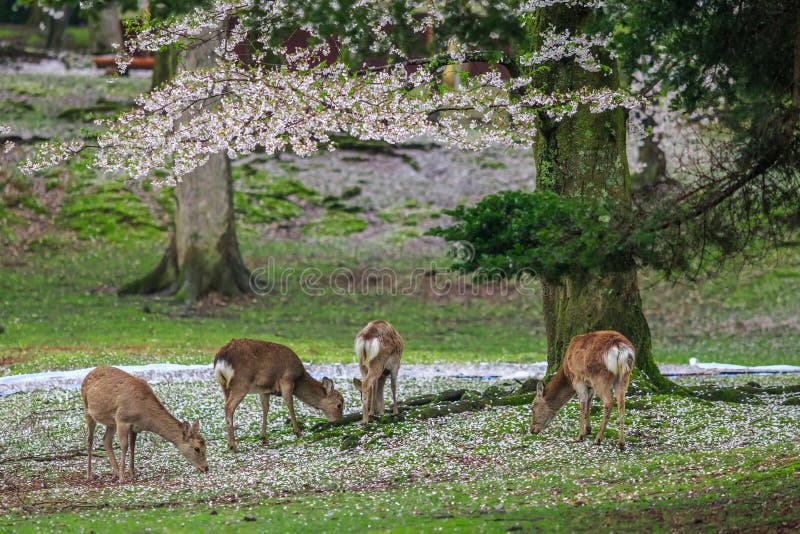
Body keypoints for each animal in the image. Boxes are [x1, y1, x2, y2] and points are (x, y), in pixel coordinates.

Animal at [213, 338, 344, 452]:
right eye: (339, 405)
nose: (338, 420)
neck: (299, 379)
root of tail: (221, 356)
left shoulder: (264, 390)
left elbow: (265, 409)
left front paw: (264, 438)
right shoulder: (286, 379)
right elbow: (290, 404)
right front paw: (298, 433)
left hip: (224, 385)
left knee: (226, 404)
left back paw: (229, 444)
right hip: (242, 383)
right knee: (229, 406)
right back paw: (233, 446)